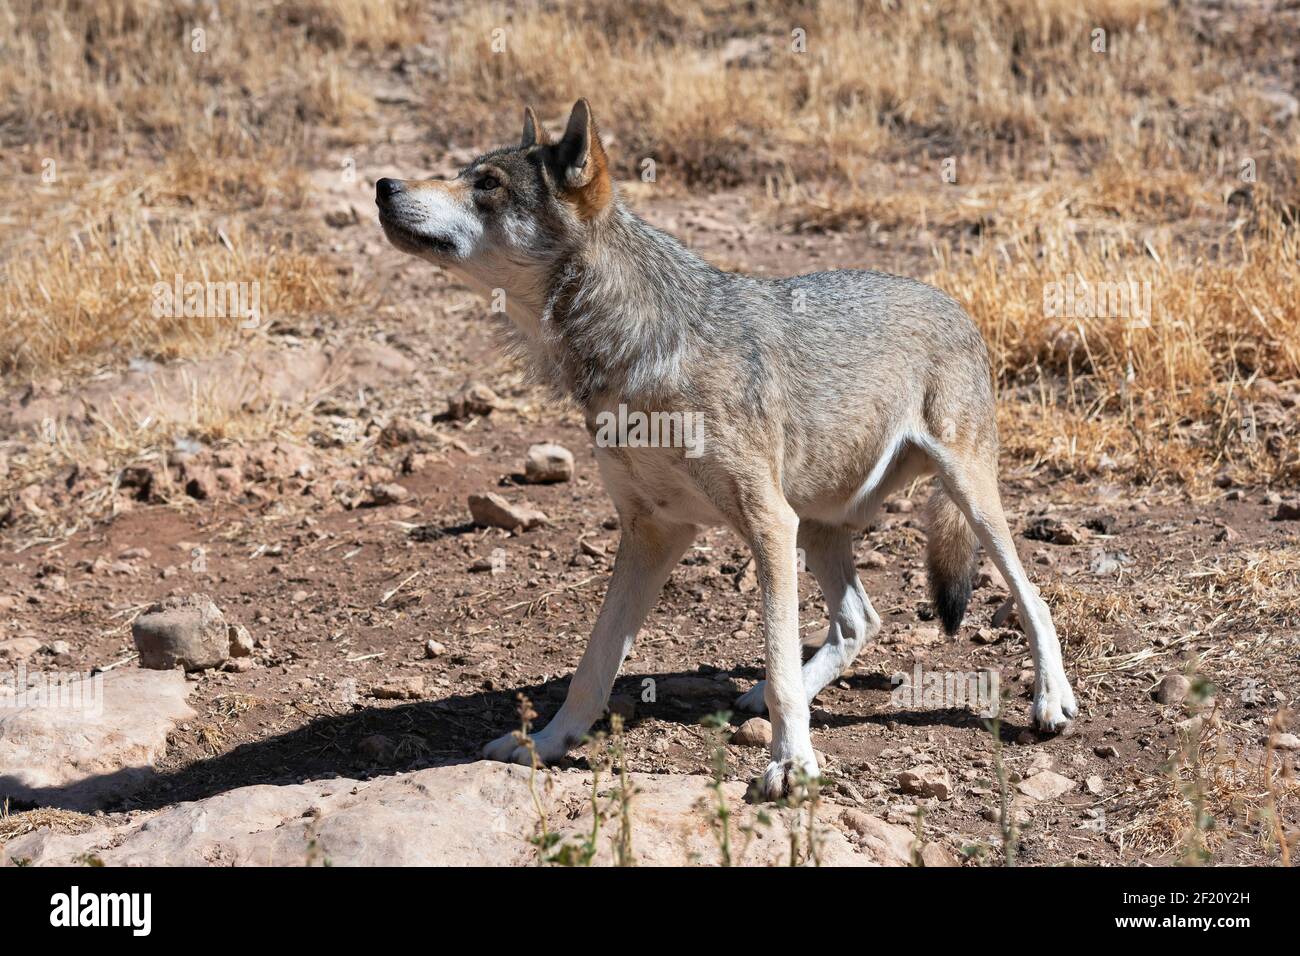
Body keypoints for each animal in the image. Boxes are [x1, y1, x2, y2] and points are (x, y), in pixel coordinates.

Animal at [376, 100, 1077, 798]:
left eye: (487, 184)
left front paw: (791, 763)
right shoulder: (654, 532)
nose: (383, 185)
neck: (635, 350)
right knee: (861, 619)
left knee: (1030, 594)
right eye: (463, 172)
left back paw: (1052, 700)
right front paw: (547, 743)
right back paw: (760, 692)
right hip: (814, 523)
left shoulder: (765, 522)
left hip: (959, 496)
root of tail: (953, 302)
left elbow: (777, 652)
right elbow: (592, 666)